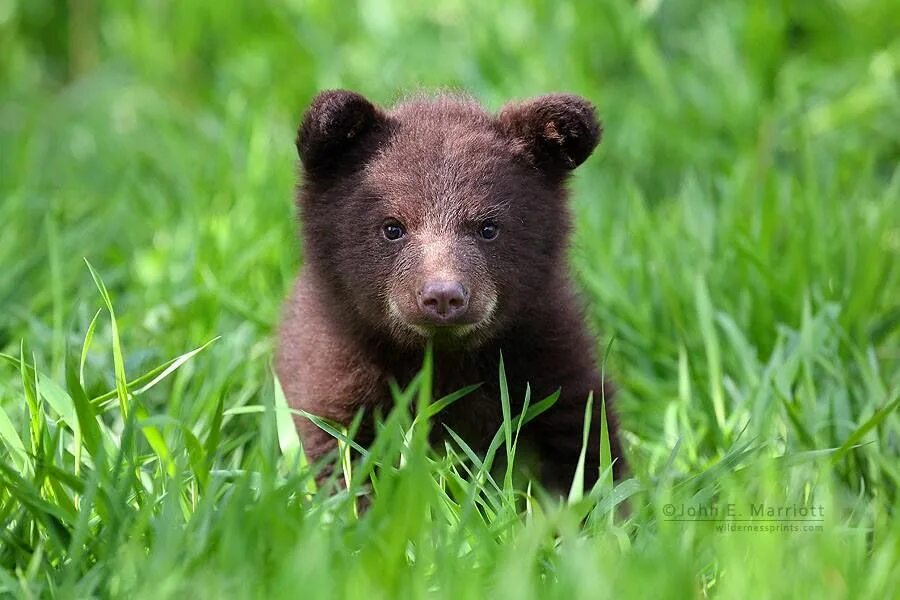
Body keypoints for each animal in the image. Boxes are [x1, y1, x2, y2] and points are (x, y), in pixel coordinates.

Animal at [276, 90, 626, 494]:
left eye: (489, 227)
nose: (443, 296)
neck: (441, 357)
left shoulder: (547, 357)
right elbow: (347, 458)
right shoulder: (337, 370)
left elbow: (582, 445)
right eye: (392, 228)